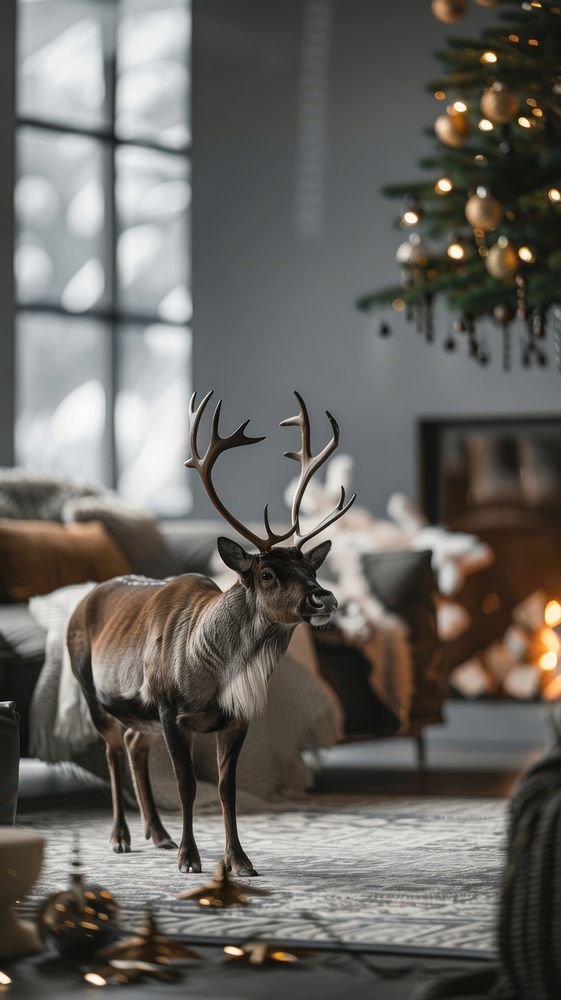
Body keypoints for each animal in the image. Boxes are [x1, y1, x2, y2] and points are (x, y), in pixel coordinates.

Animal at [67, 391, 355, 877]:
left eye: (311, 568)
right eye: (266, 573)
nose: (325, 598)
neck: (218, 674)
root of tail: (85, 599)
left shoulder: (236, 718)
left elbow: (226, 788)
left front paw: (239, 861)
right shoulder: (169, 707)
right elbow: (186, 785)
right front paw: (190, 859)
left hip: (140, 713)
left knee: (133, 743)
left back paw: (157, 834)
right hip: (90, 686)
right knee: (112, 749)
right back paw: (121, 837)